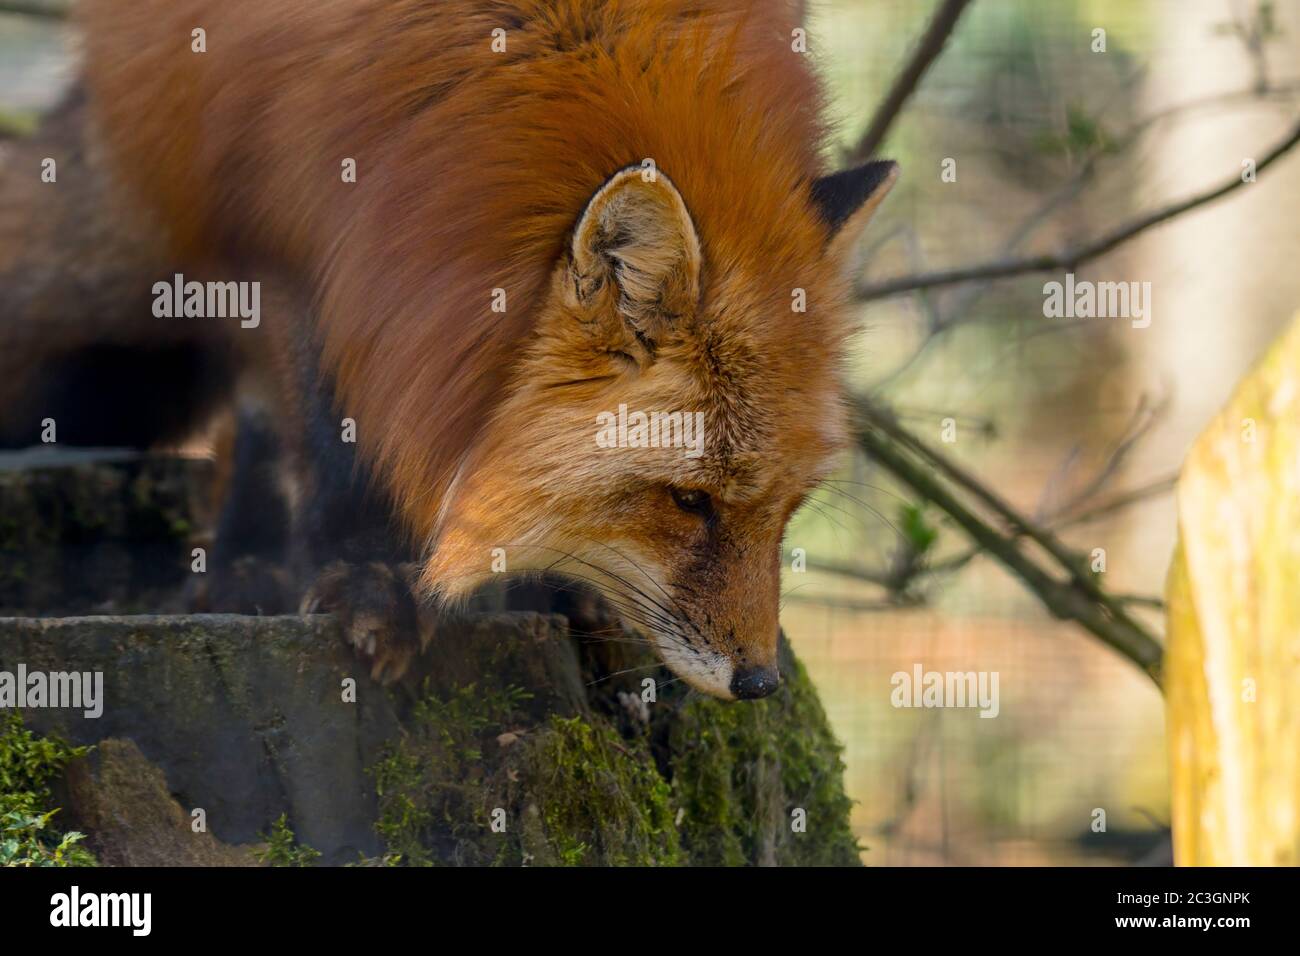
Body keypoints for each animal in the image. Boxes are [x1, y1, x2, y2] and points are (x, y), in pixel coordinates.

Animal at [7, 0, 898, 699]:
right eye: (688, 500)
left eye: (786, 508)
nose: (760, 683)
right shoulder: (300, 208)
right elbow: (334, 430)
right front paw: (364, 575)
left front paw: (551, 583)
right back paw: (244, 568)